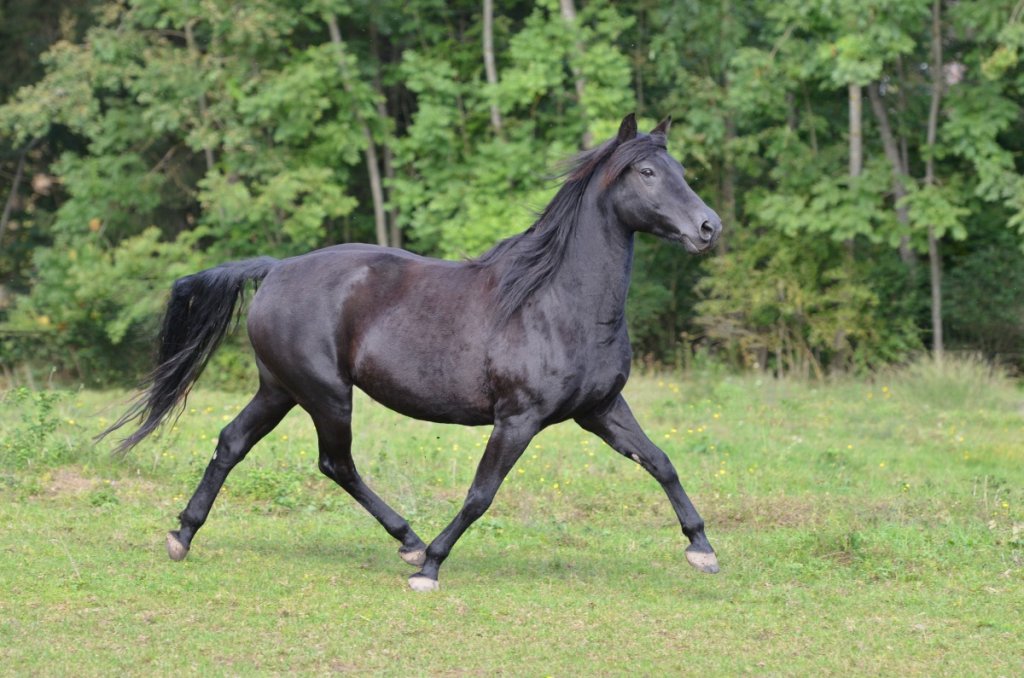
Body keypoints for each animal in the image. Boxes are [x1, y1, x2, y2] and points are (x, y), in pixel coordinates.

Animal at [103, 113, 723, 591]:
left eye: (682, 172)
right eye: (647, 172)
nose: (708, 227)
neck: (558, 302)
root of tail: (276, 270)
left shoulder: (600, 410)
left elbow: (662, 462)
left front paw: (702, 548)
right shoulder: (517, 419)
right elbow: (480, 495)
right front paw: (430, 568)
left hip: (279, 389)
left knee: (233, 442)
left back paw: (183, 534)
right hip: (326, 395)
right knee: (336, 463)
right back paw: (410, 542)